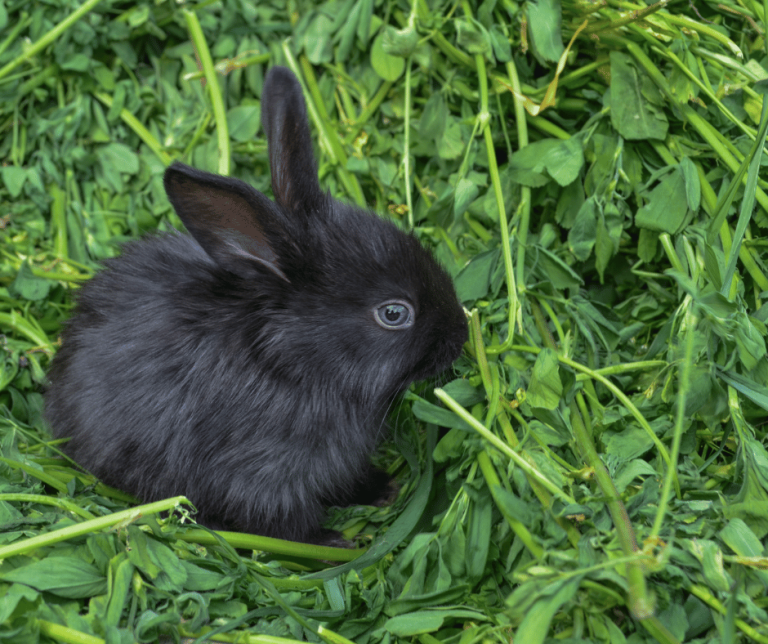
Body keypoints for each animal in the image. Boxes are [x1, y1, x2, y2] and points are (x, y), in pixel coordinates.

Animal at [44, 66, 467, 546]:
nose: (461, 334)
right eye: (394, 313)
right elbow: (283, 523)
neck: (296, 363)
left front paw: (382, 488)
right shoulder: (262, 475)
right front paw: (331, 543)